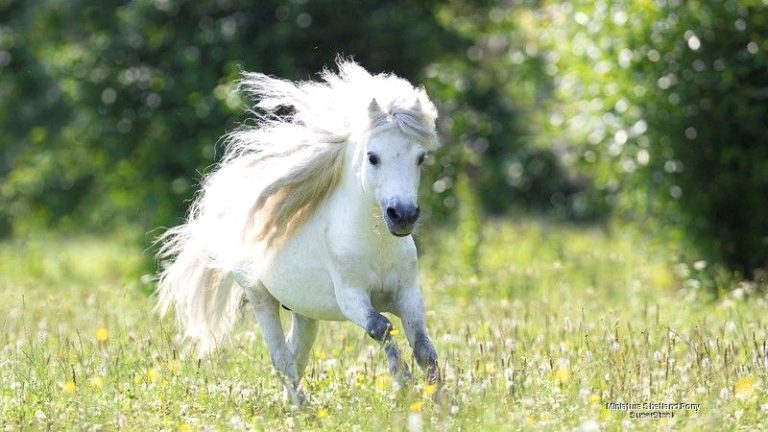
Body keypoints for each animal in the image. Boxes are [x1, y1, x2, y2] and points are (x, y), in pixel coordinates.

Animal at [155, 59, 440, 405]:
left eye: (420, 157)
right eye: (373, 157)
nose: (403, 216)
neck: (377, 246)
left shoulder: (407, 294)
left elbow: (424, 346)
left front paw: (439, 398)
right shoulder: (351, 297)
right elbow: (381, 327)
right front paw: (405, 384)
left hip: (304, 311)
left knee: (296, 353)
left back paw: (292, 403)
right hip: (261, 297)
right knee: (281, 357)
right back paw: (302, 406)